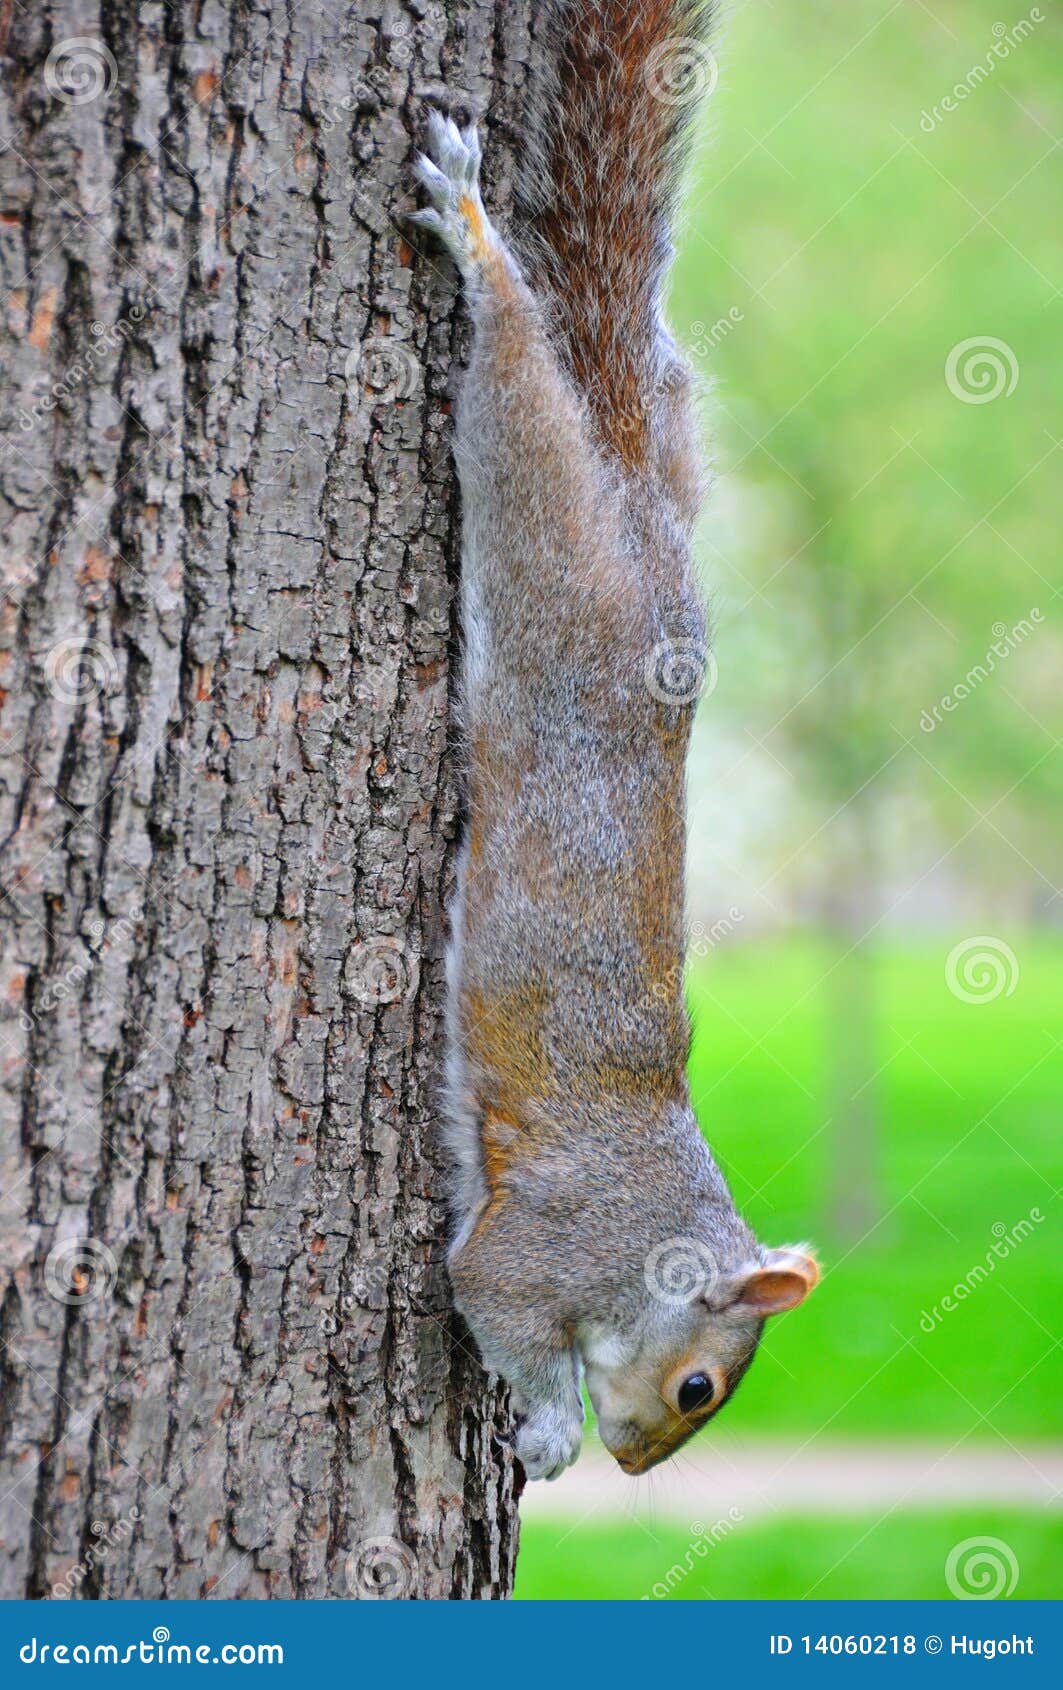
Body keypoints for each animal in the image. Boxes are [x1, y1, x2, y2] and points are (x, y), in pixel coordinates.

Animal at [410, 1, 819, 1481]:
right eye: (701, 1386)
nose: (644, 1462)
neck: (652, 1235)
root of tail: (636, 517)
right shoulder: (534, 1249)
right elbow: (499, 1312)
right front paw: (546, 1428)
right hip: (553, 565)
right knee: (518, 403)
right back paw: (475, 239)